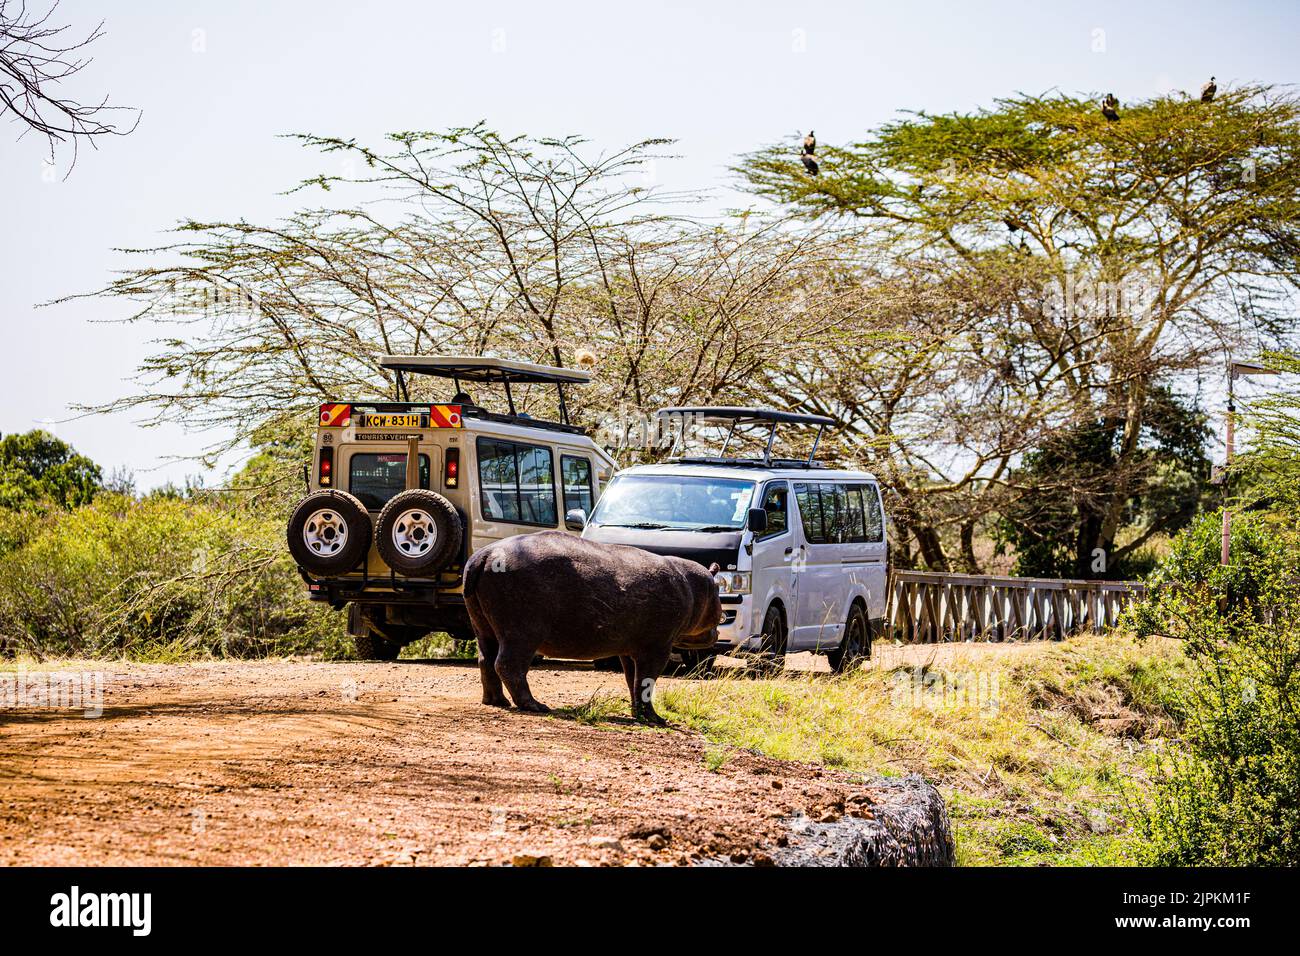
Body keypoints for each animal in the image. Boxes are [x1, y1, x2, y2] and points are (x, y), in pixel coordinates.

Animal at [462, 530, 722, 724]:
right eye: (719, 589)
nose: (721, 623)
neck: (694, 587)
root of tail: (483, 555)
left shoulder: (630, 650)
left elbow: (633, 680)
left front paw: (637, 715)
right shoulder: (657, 647)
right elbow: (647, 680)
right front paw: (657, 720)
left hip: (484, 628)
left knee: (486, 661)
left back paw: (497, 701)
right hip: (521, 633)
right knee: (508, 665)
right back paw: (537, 706)